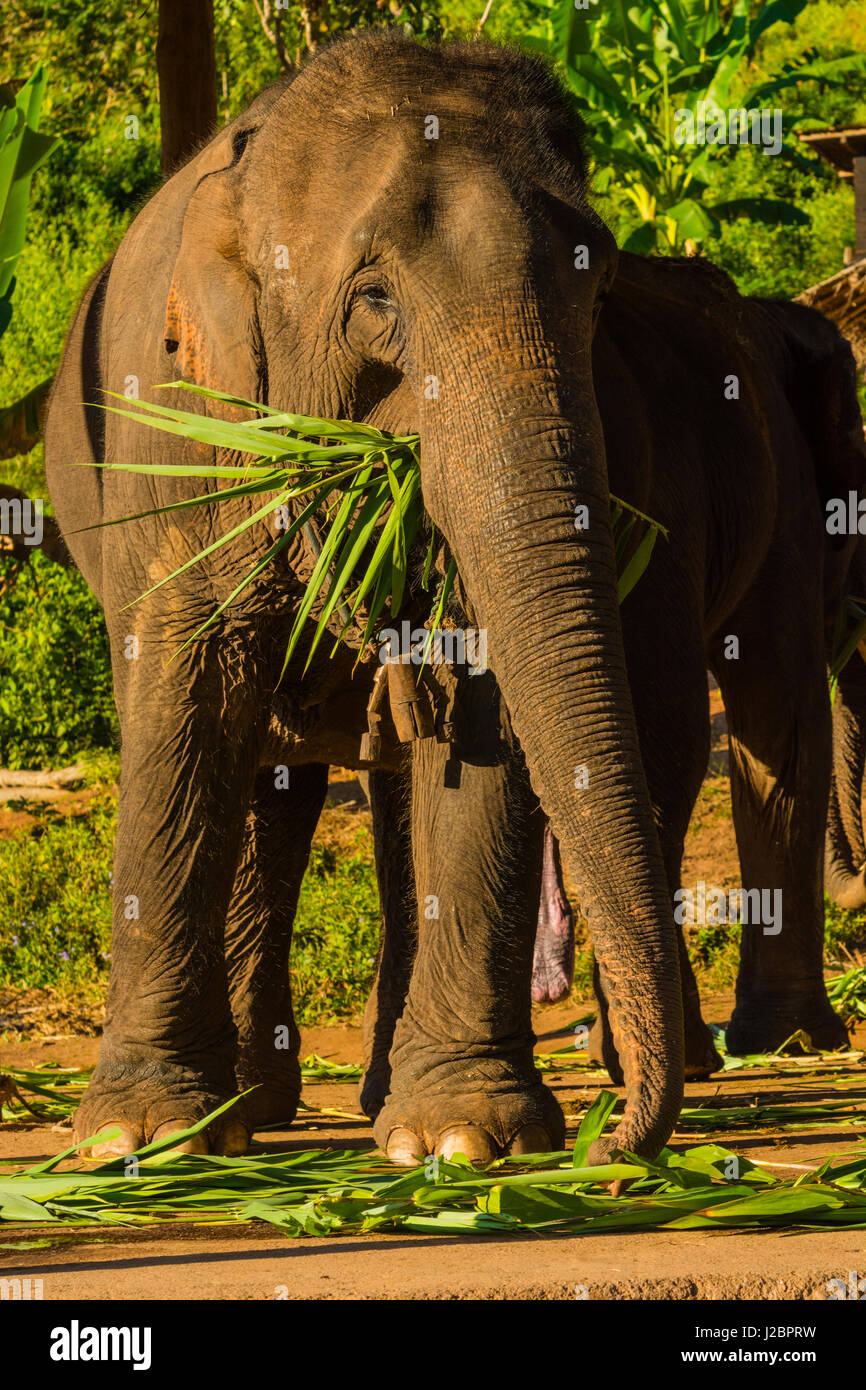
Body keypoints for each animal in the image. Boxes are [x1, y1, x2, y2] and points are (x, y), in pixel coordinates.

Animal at [45, 32, 864, 1168]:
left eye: (596, 295)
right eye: (375, 301)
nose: (614, 1149)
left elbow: (479, 702)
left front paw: (461, 1140)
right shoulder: (173, 429)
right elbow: (185, 688)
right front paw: (140, 1135)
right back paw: (248, 1109)